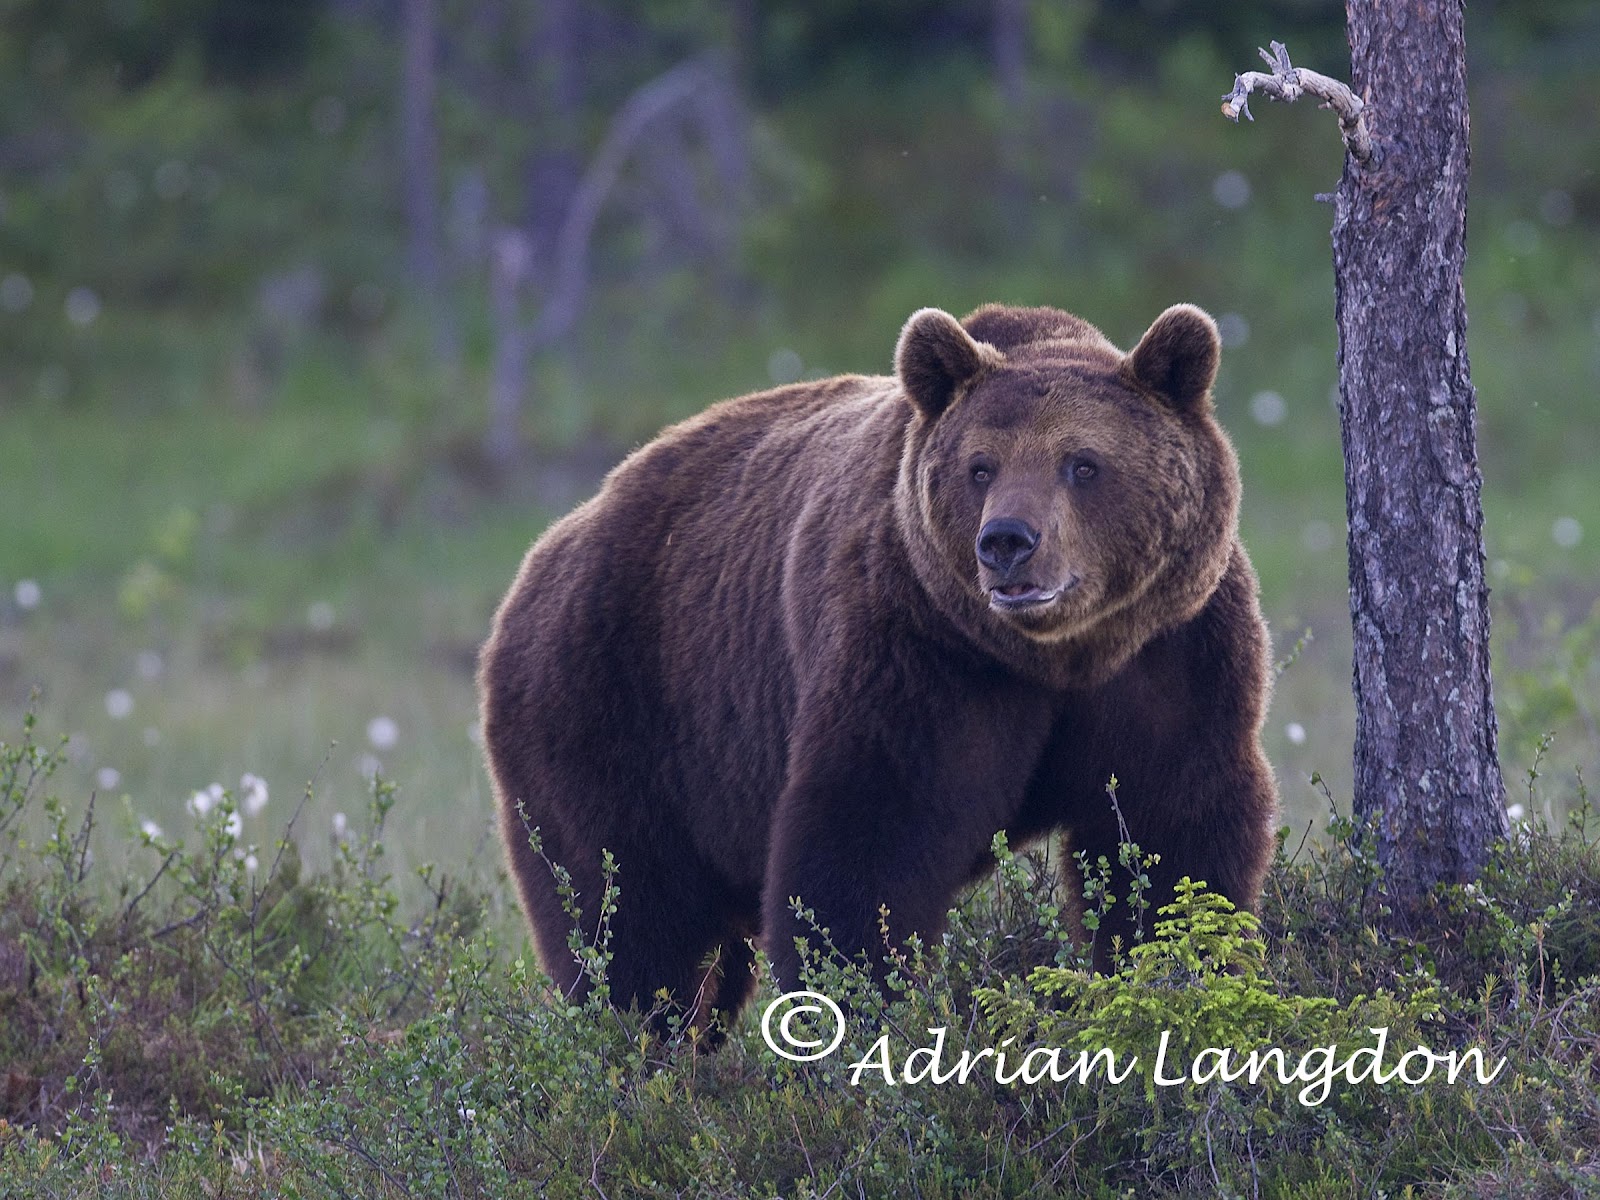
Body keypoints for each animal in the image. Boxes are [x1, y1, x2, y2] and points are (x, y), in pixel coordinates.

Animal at [478, 301, 1278, 1027]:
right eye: (979, 467)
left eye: (1083, 463)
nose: (1007, 542)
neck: (1057, 658)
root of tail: (542, 558)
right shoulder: (921, 650)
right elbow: (869, 838)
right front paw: (868, 1005)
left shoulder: (1171, 652)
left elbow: (1170, 830)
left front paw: (1175, 971)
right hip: (613, 709)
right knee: (625, 915)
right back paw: (634, 1039)